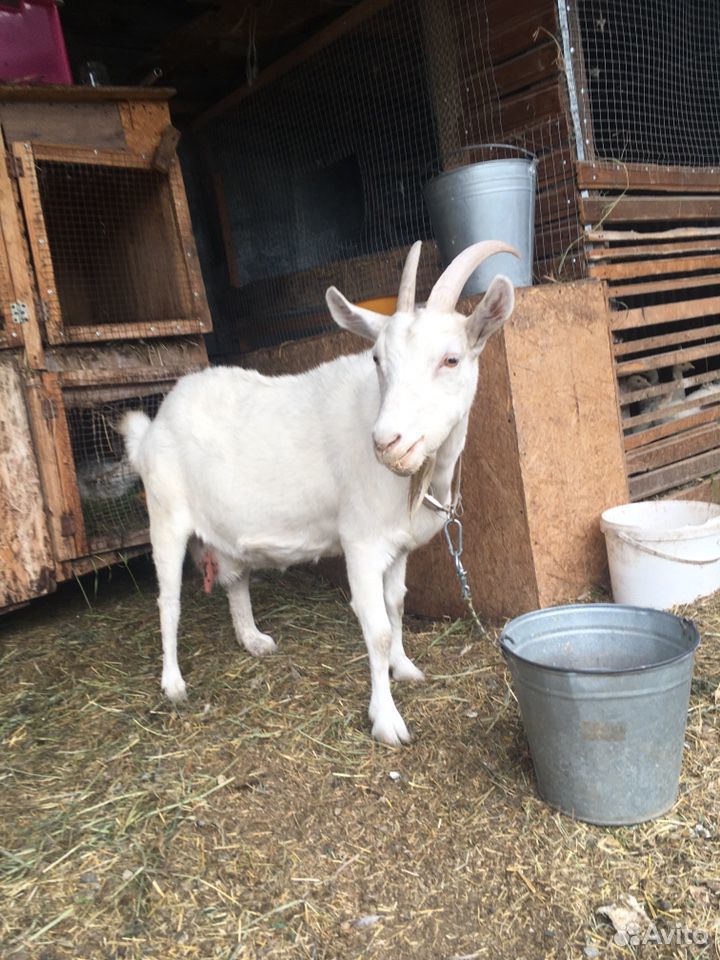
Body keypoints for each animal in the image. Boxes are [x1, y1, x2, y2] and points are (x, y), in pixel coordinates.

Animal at [120, 241, 516, 745]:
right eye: (377, 360)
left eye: (451, 359)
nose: (386, 442)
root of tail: (154, 425)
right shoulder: (361, 543)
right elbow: (376, 626)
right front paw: (386, 720)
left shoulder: (399, 545)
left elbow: (397, 604)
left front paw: (404, 668)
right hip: (166, 514)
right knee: (168, 599)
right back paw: (173, 684)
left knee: (234, 579)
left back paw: (253, 639)